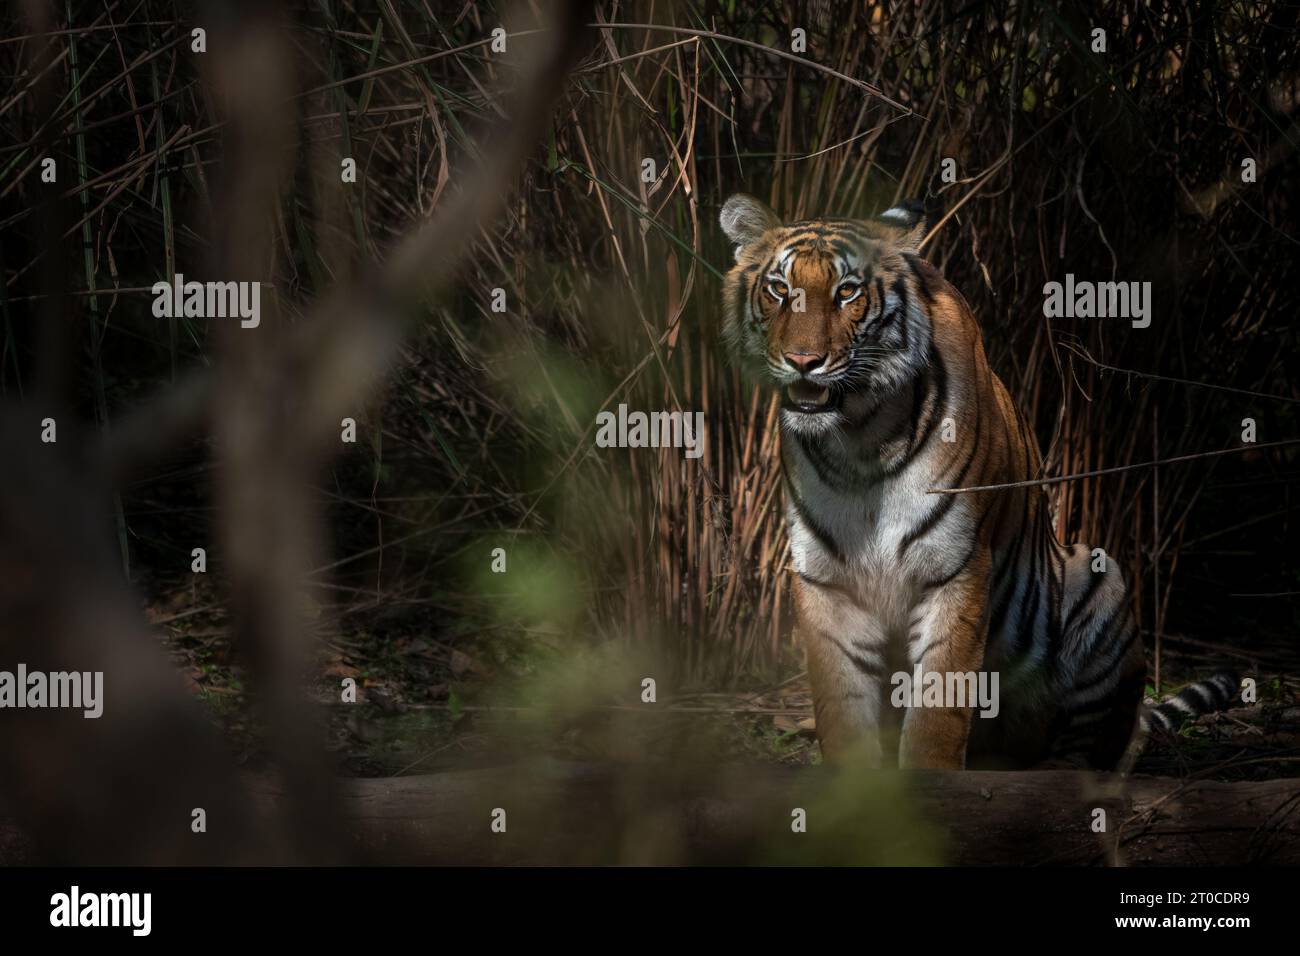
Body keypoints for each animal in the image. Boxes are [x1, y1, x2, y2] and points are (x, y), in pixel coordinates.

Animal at [719, 193, 1238, 770]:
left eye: (846, 291)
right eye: (778, 289)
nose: (803, 362)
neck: (859, 437)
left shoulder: (956, 569)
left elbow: (938, 712)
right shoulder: (826, 579)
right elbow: (842, 709)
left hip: (1099, 576)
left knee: (1093, 749)